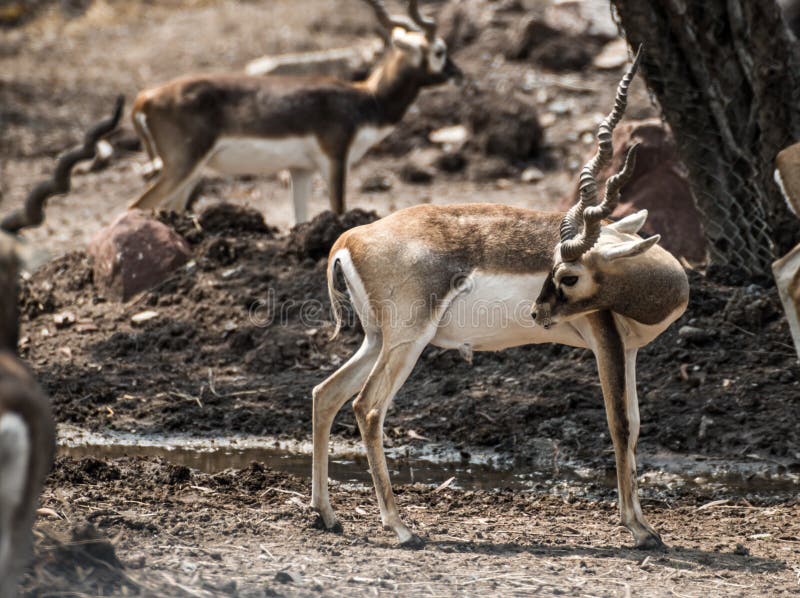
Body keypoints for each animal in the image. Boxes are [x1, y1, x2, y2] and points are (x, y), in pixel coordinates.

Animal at [128, 0, 462, 222]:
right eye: (440, 50)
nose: (458, 75)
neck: (366, 99)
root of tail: (145, 98)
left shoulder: (301, 170)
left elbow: (300, 219)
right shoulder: (335, 158)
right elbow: (339, 210)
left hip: (192, 172)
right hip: (182, 166)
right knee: (135, 207)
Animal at [311, 51, 690, 549]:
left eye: (564, 272)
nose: (537, 311)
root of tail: (351, 237)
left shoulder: (628, 350)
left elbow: (637, 424)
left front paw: (644, 524)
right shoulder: (605, 340)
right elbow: (619, 424)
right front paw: (640, 529)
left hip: (377, 340)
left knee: (326, 394)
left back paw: (326, 516)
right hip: (408, 340)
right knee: (368, 408)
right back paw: (401, 527)